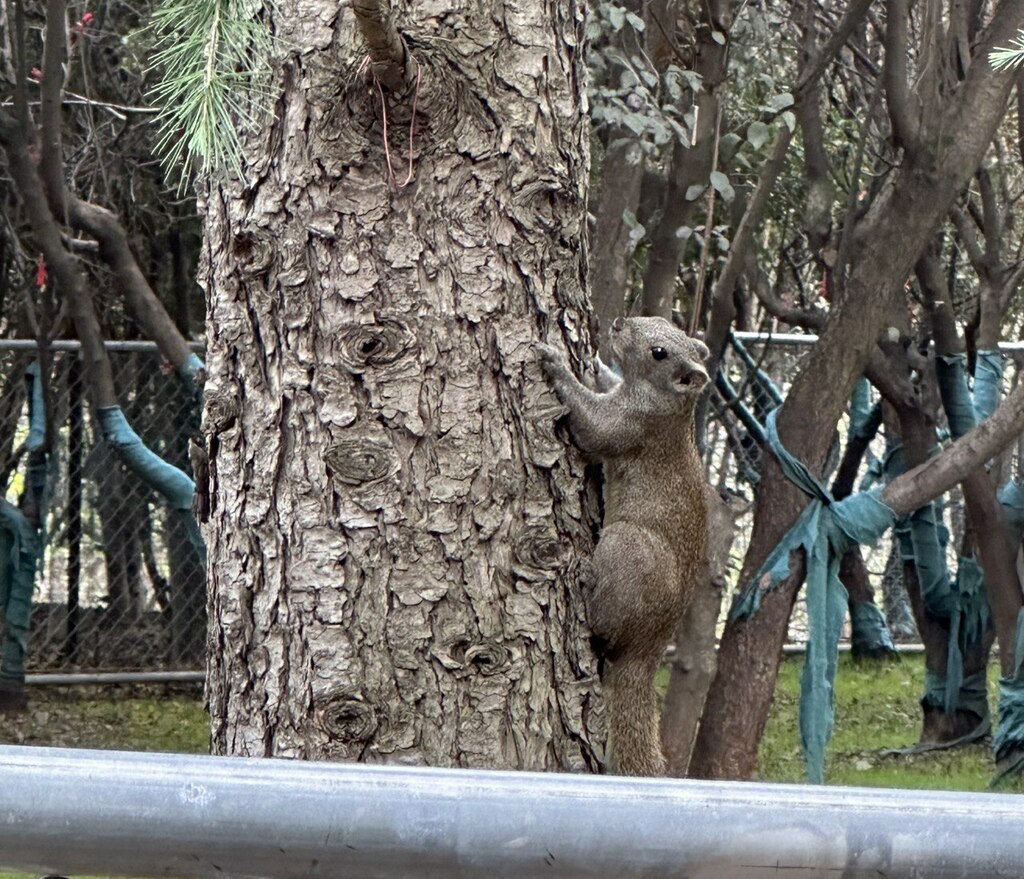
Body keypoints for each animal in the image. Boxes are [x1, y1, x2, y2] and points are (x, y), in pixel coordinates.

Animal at [538, 316, 710, 776]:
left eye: (659, 353)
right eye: (663, 322)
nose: (618, 323)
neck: (671, 407)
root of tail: (648, 651)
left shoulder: (634, 426)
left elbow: (595, 429)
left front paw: (557, 363)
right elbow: (606, 382)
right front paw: (595, 361)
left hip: (629, 546)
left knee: (604, 630)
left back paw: (586, 582)